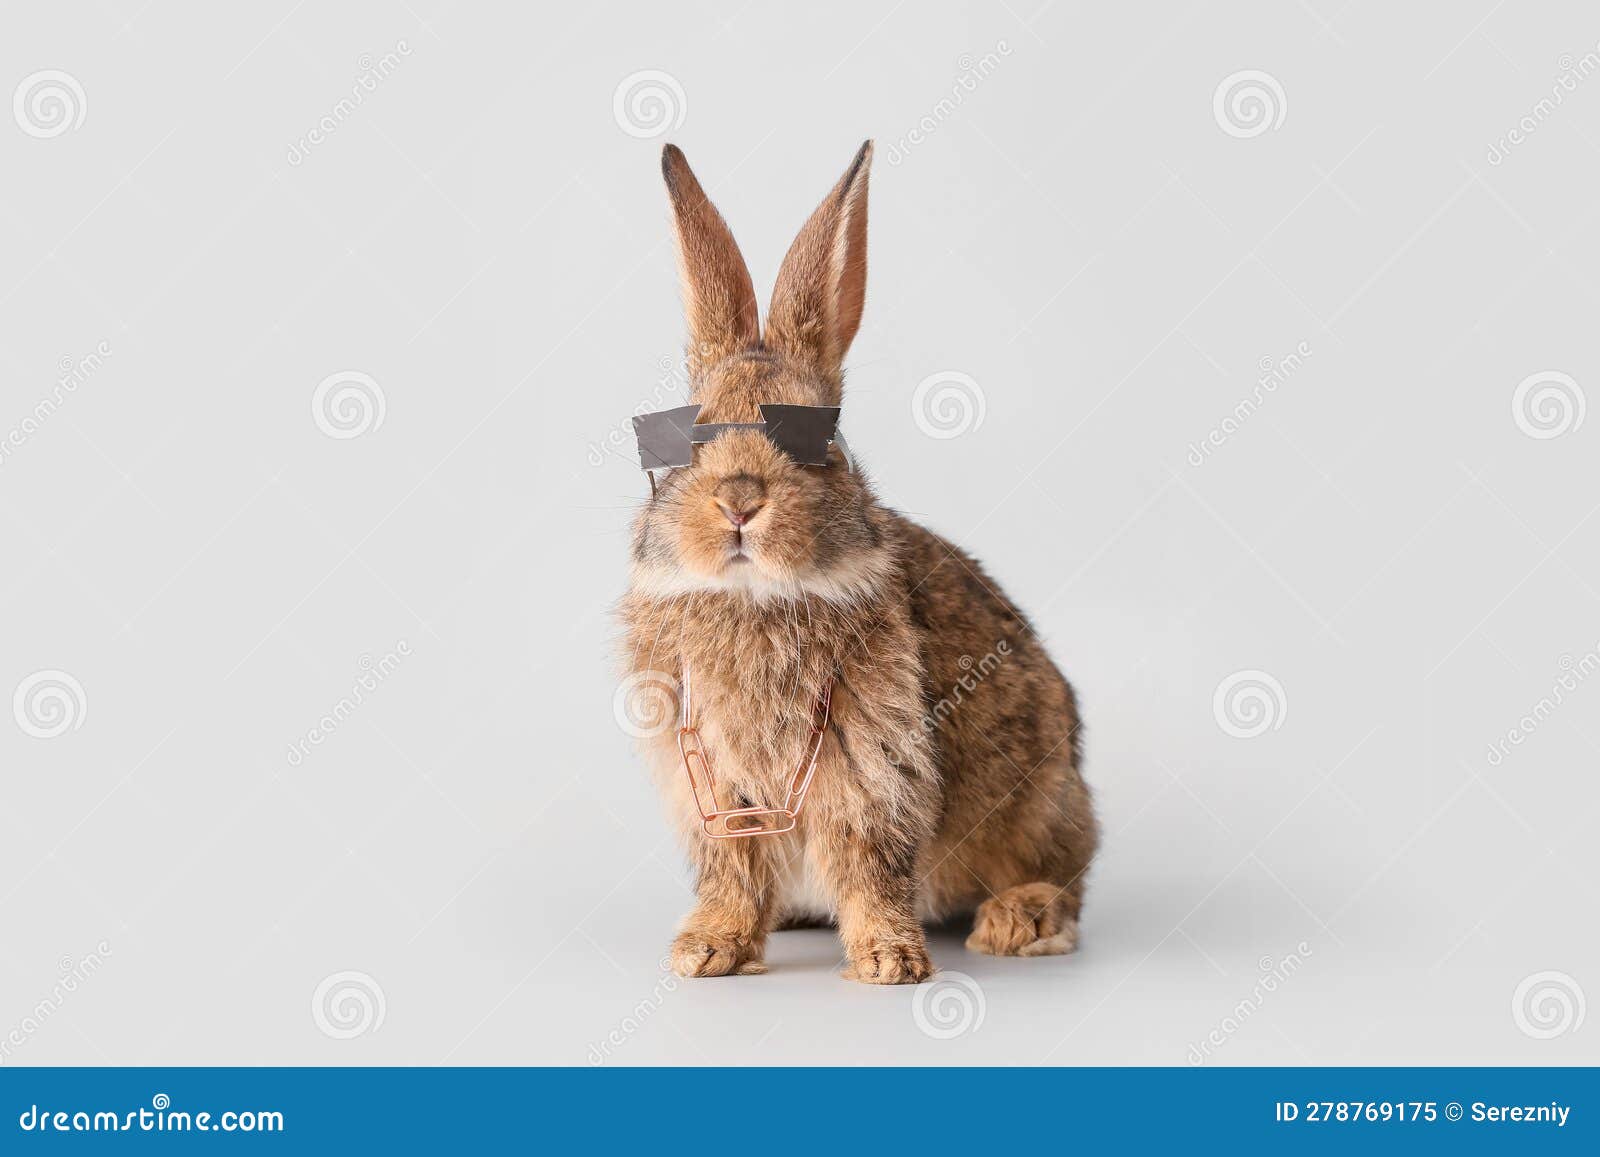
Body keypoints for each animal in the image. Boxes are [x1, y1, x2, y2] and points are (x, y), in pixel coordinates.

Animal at [619, 141, 1097, 984]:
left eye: (821, 443)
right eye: (685, 439)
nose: (739, 500)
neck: (756, 596)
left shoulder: (871, 764)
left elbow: (870, 861)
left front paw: (888, 961)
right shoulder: (717, 782)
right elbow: (734, 870)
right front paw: (707, 948)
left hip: (1039, 798)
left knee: (1063, 875)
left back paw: (1018, 918)